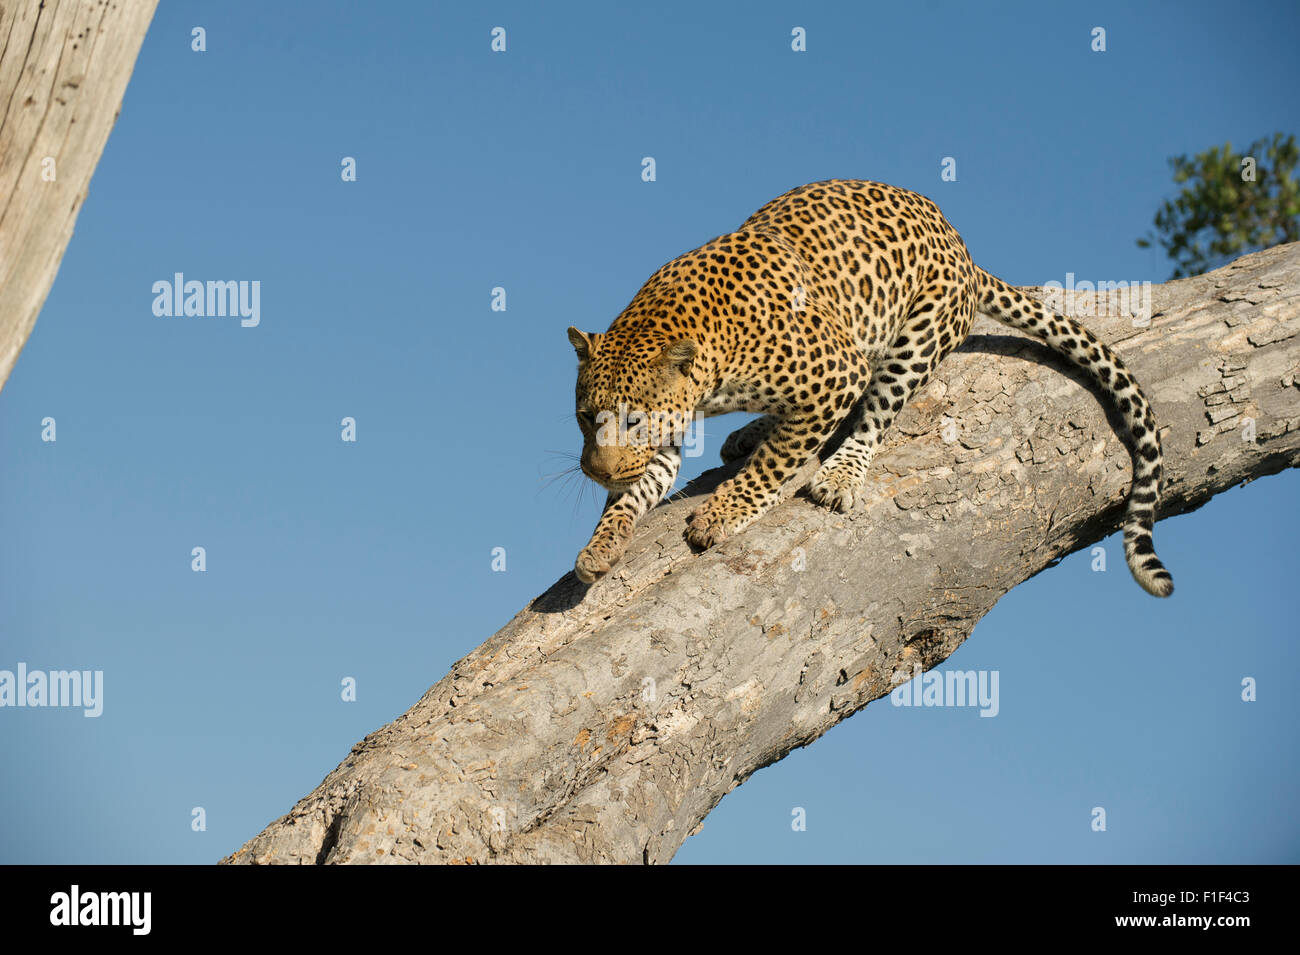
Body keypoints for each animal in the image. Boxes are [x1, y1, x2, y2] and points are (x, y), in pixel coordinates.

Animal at [566, 179, 1173, 597]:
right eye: (586, 417)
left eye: (634, 419)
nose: (595, 471)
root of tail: (964, 249)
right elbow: (637, 490)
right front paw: (601, 545)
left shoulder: (835, 374)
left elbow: (777, 464)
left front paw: (724, 513)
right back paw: (749, 432)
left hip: (917, 334)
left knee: (874, 412)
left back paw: (838, 473)